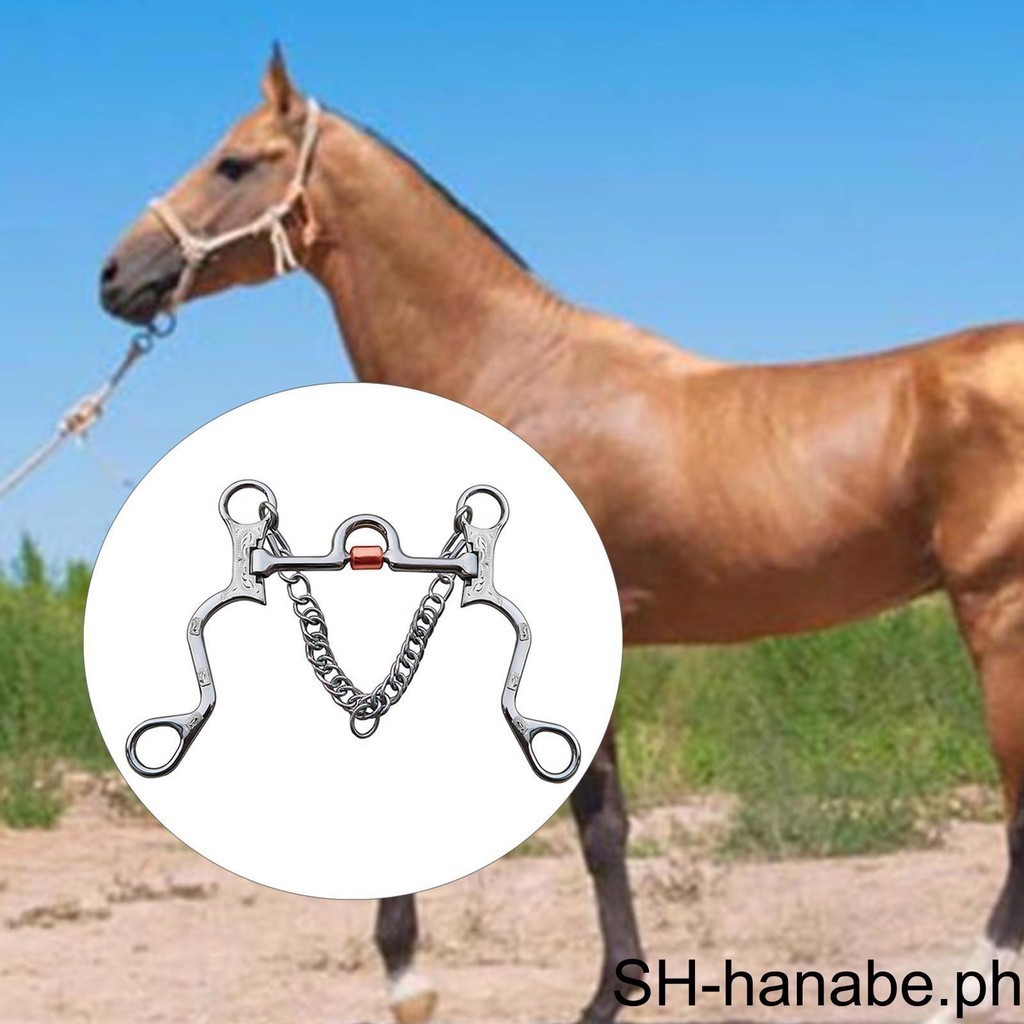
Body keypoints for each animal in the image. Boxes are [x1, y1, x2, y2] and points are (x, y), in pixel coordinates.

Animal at [99, 48, 1024, 1024]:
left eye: (234, 163)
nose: (114, 275)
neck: (514, 368)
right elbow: (603, 825)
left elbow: (590, 823)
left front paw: (423, 981)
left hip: (998, 614)